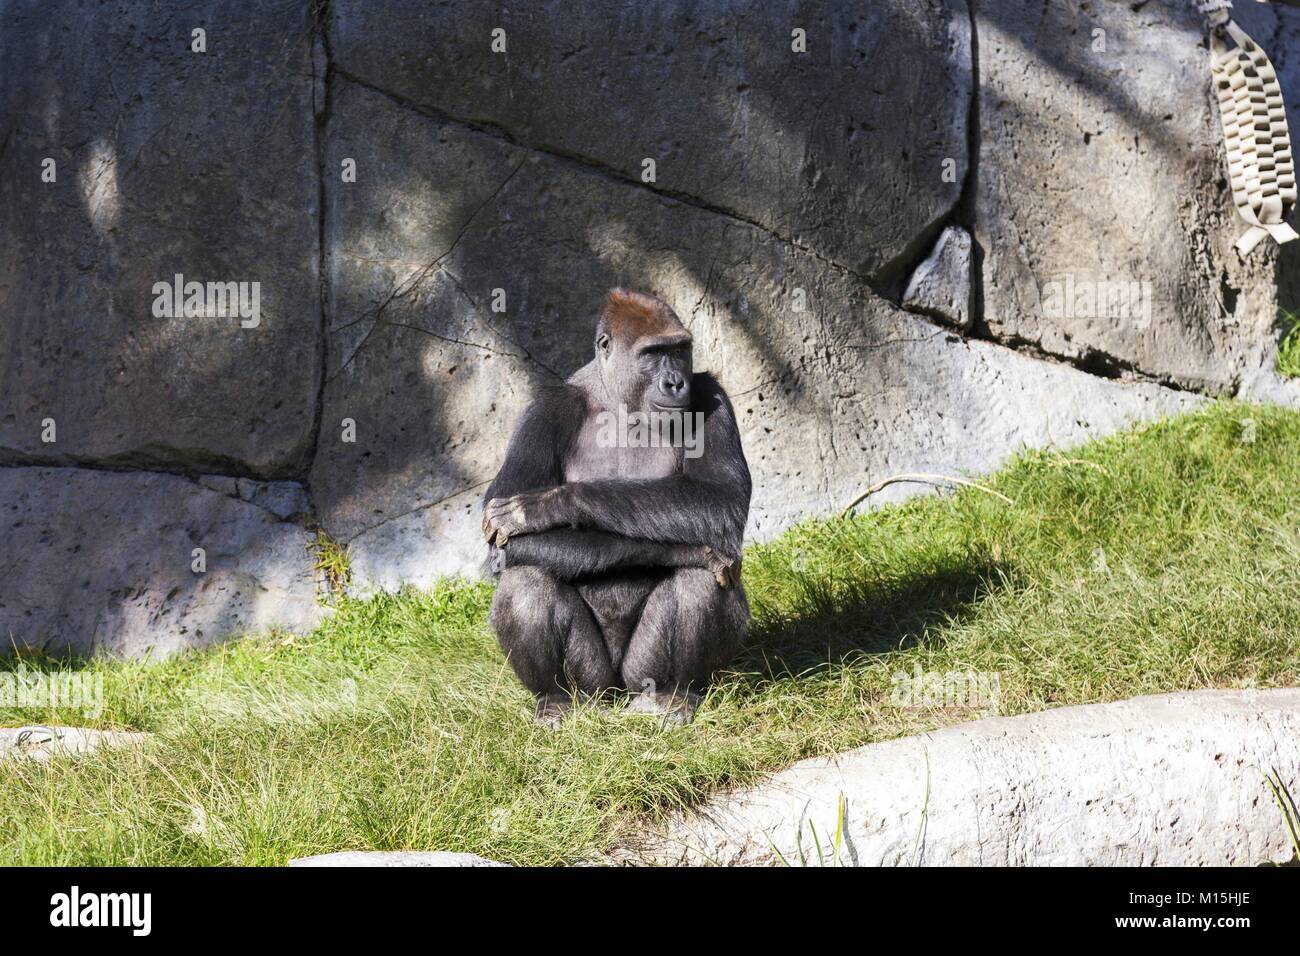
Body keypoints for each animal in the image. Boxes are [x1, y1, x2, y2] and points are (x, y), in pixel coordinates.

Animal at [482, 289, 752, 727]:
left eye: (680, 350)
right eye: (653, 353)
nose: (675, 382)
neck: (617, 399)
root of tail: (618, 695)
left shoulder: (711, 392)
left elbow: (720, 500)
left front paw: (549, 505)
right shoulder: (543, 410)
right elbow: (503, 544)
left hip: (639, 674)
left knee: (699, 580)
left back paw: (676, 693)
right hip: (595, 683)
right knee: (524, 575)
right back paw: (555, 698)